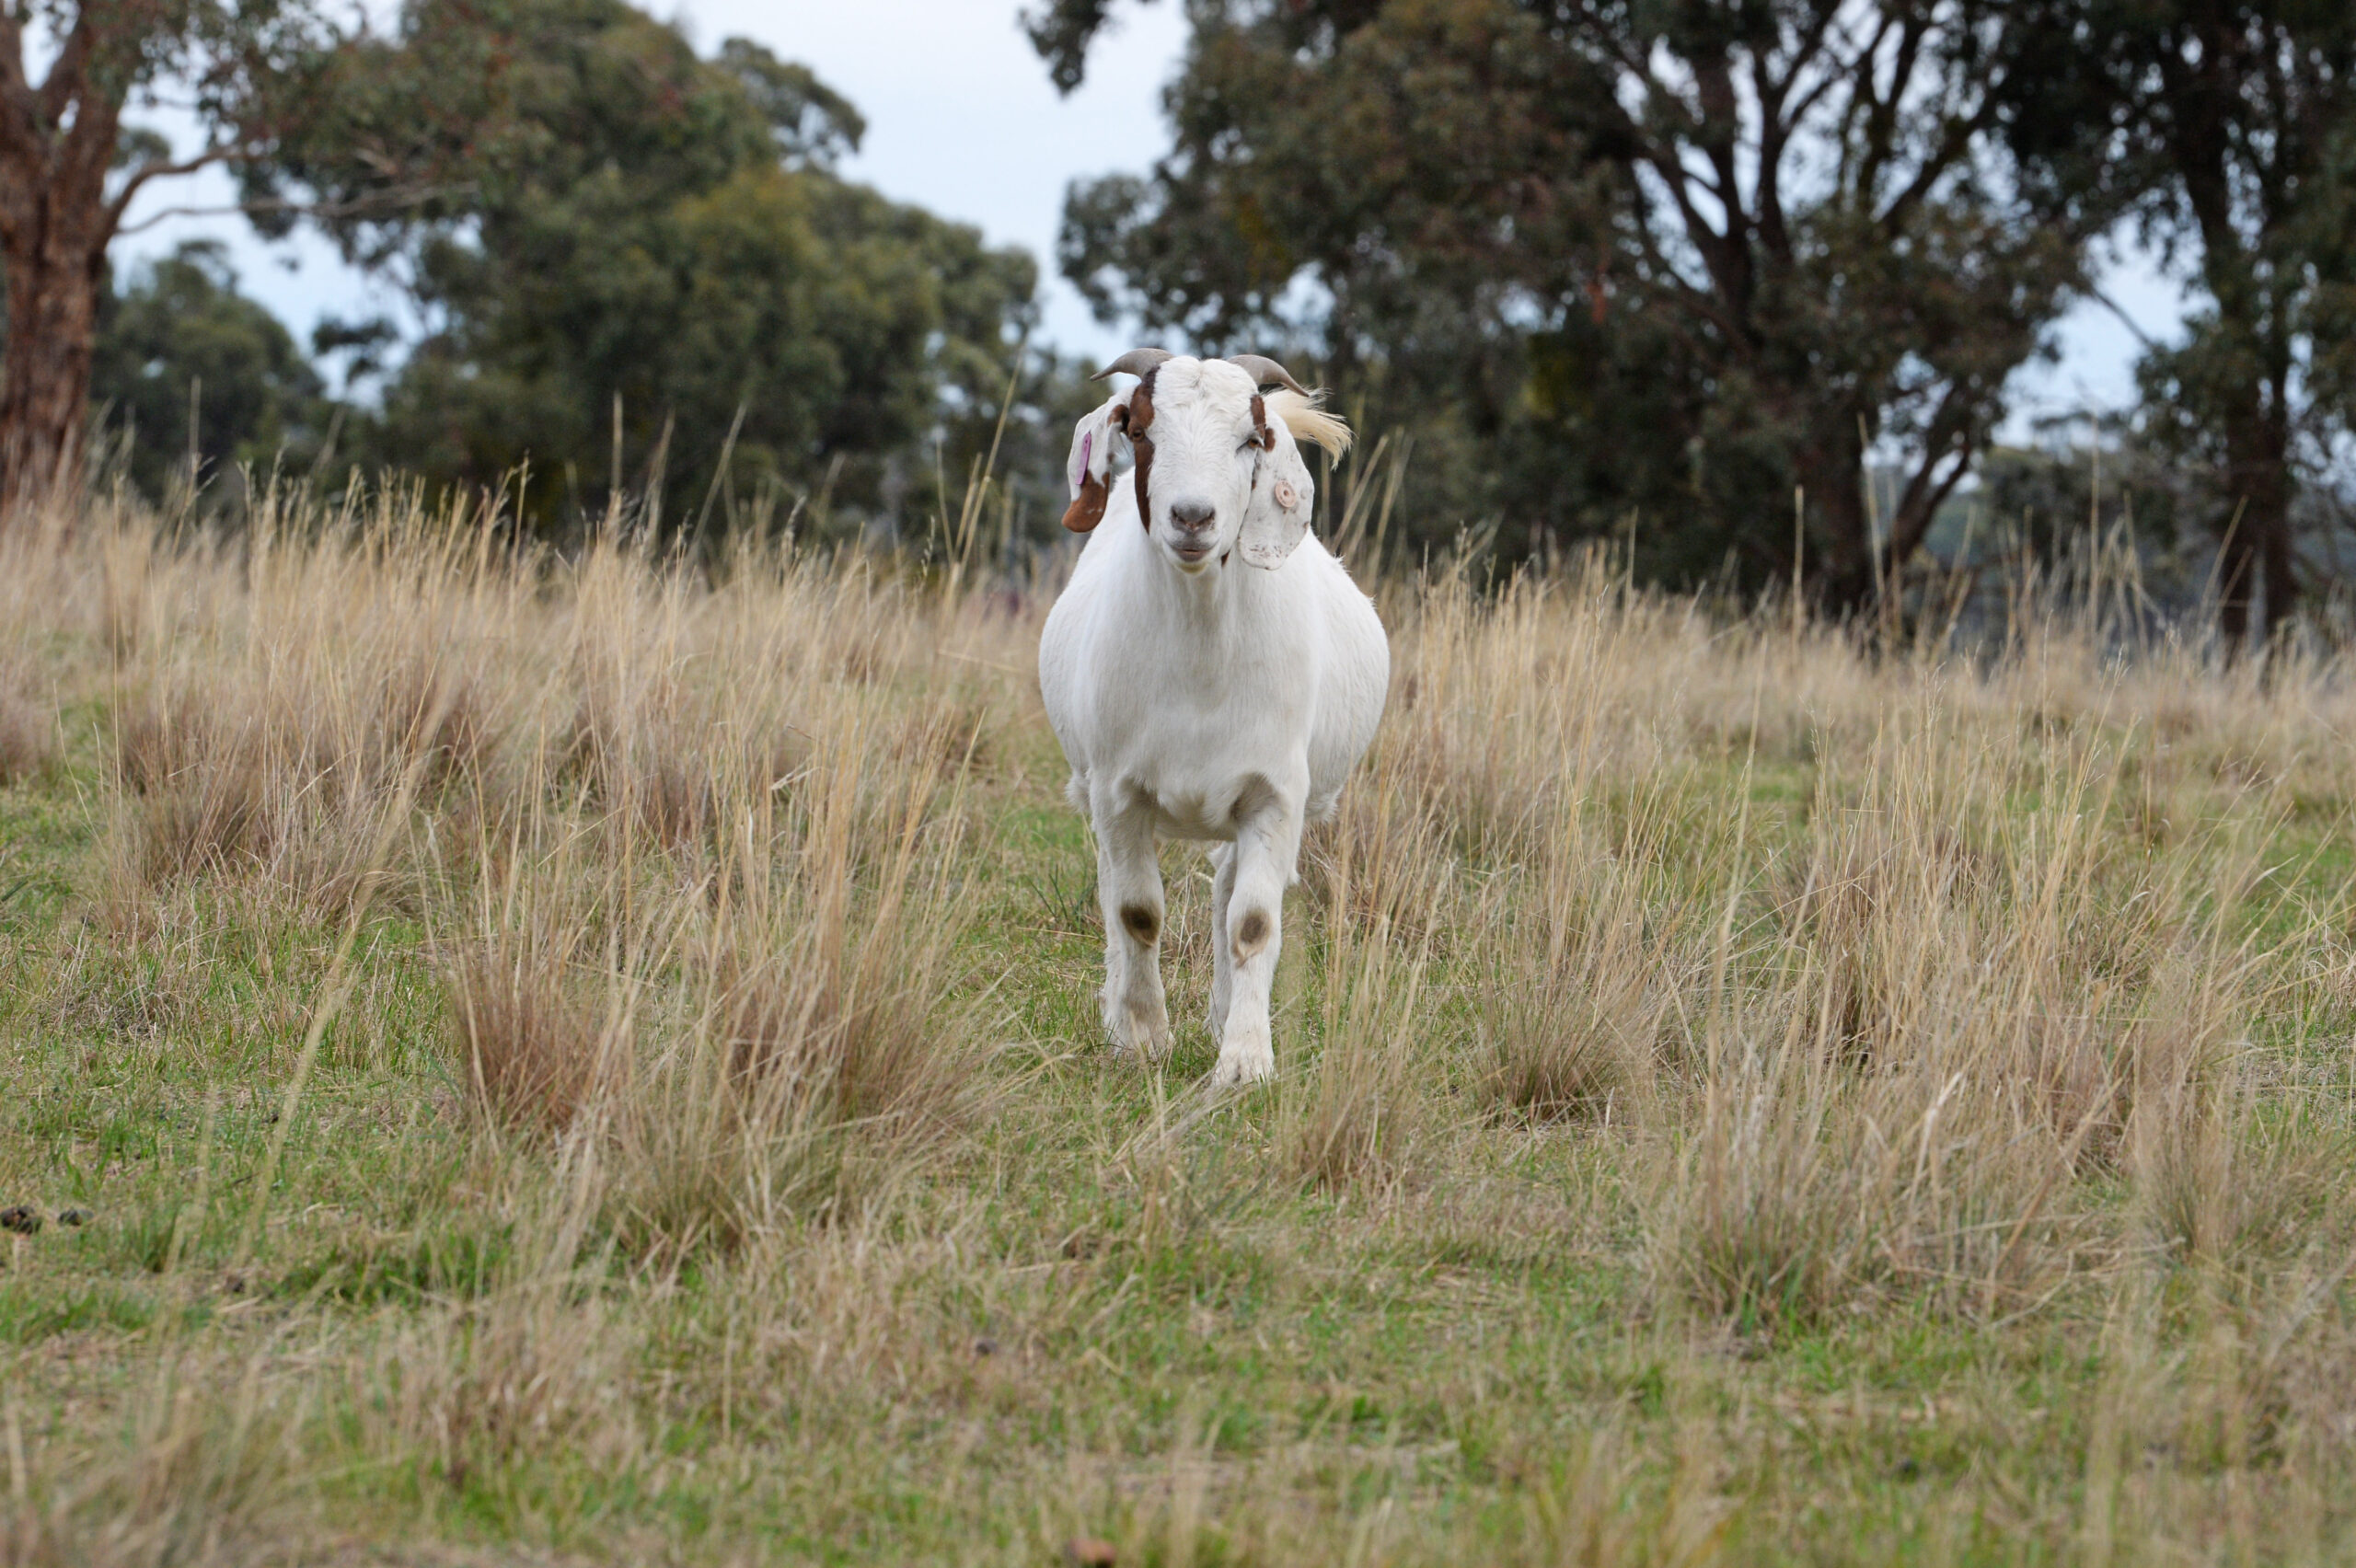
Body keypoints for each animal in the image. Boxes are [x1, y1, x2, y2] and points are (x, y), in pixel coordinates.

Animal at [1039, 350, 1388, 1086]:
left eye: (1250, 440)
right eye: (1140, 431)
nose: (1193, 517)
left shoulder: (1274, 796)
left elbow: (1250, 923)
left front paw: (1245, 1060)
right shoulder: (1119, 792)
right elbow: (1136, 913)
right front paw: (1144, 1039)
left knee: (1228, 889)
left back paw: (1224, 1016)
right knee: (1113, 892)